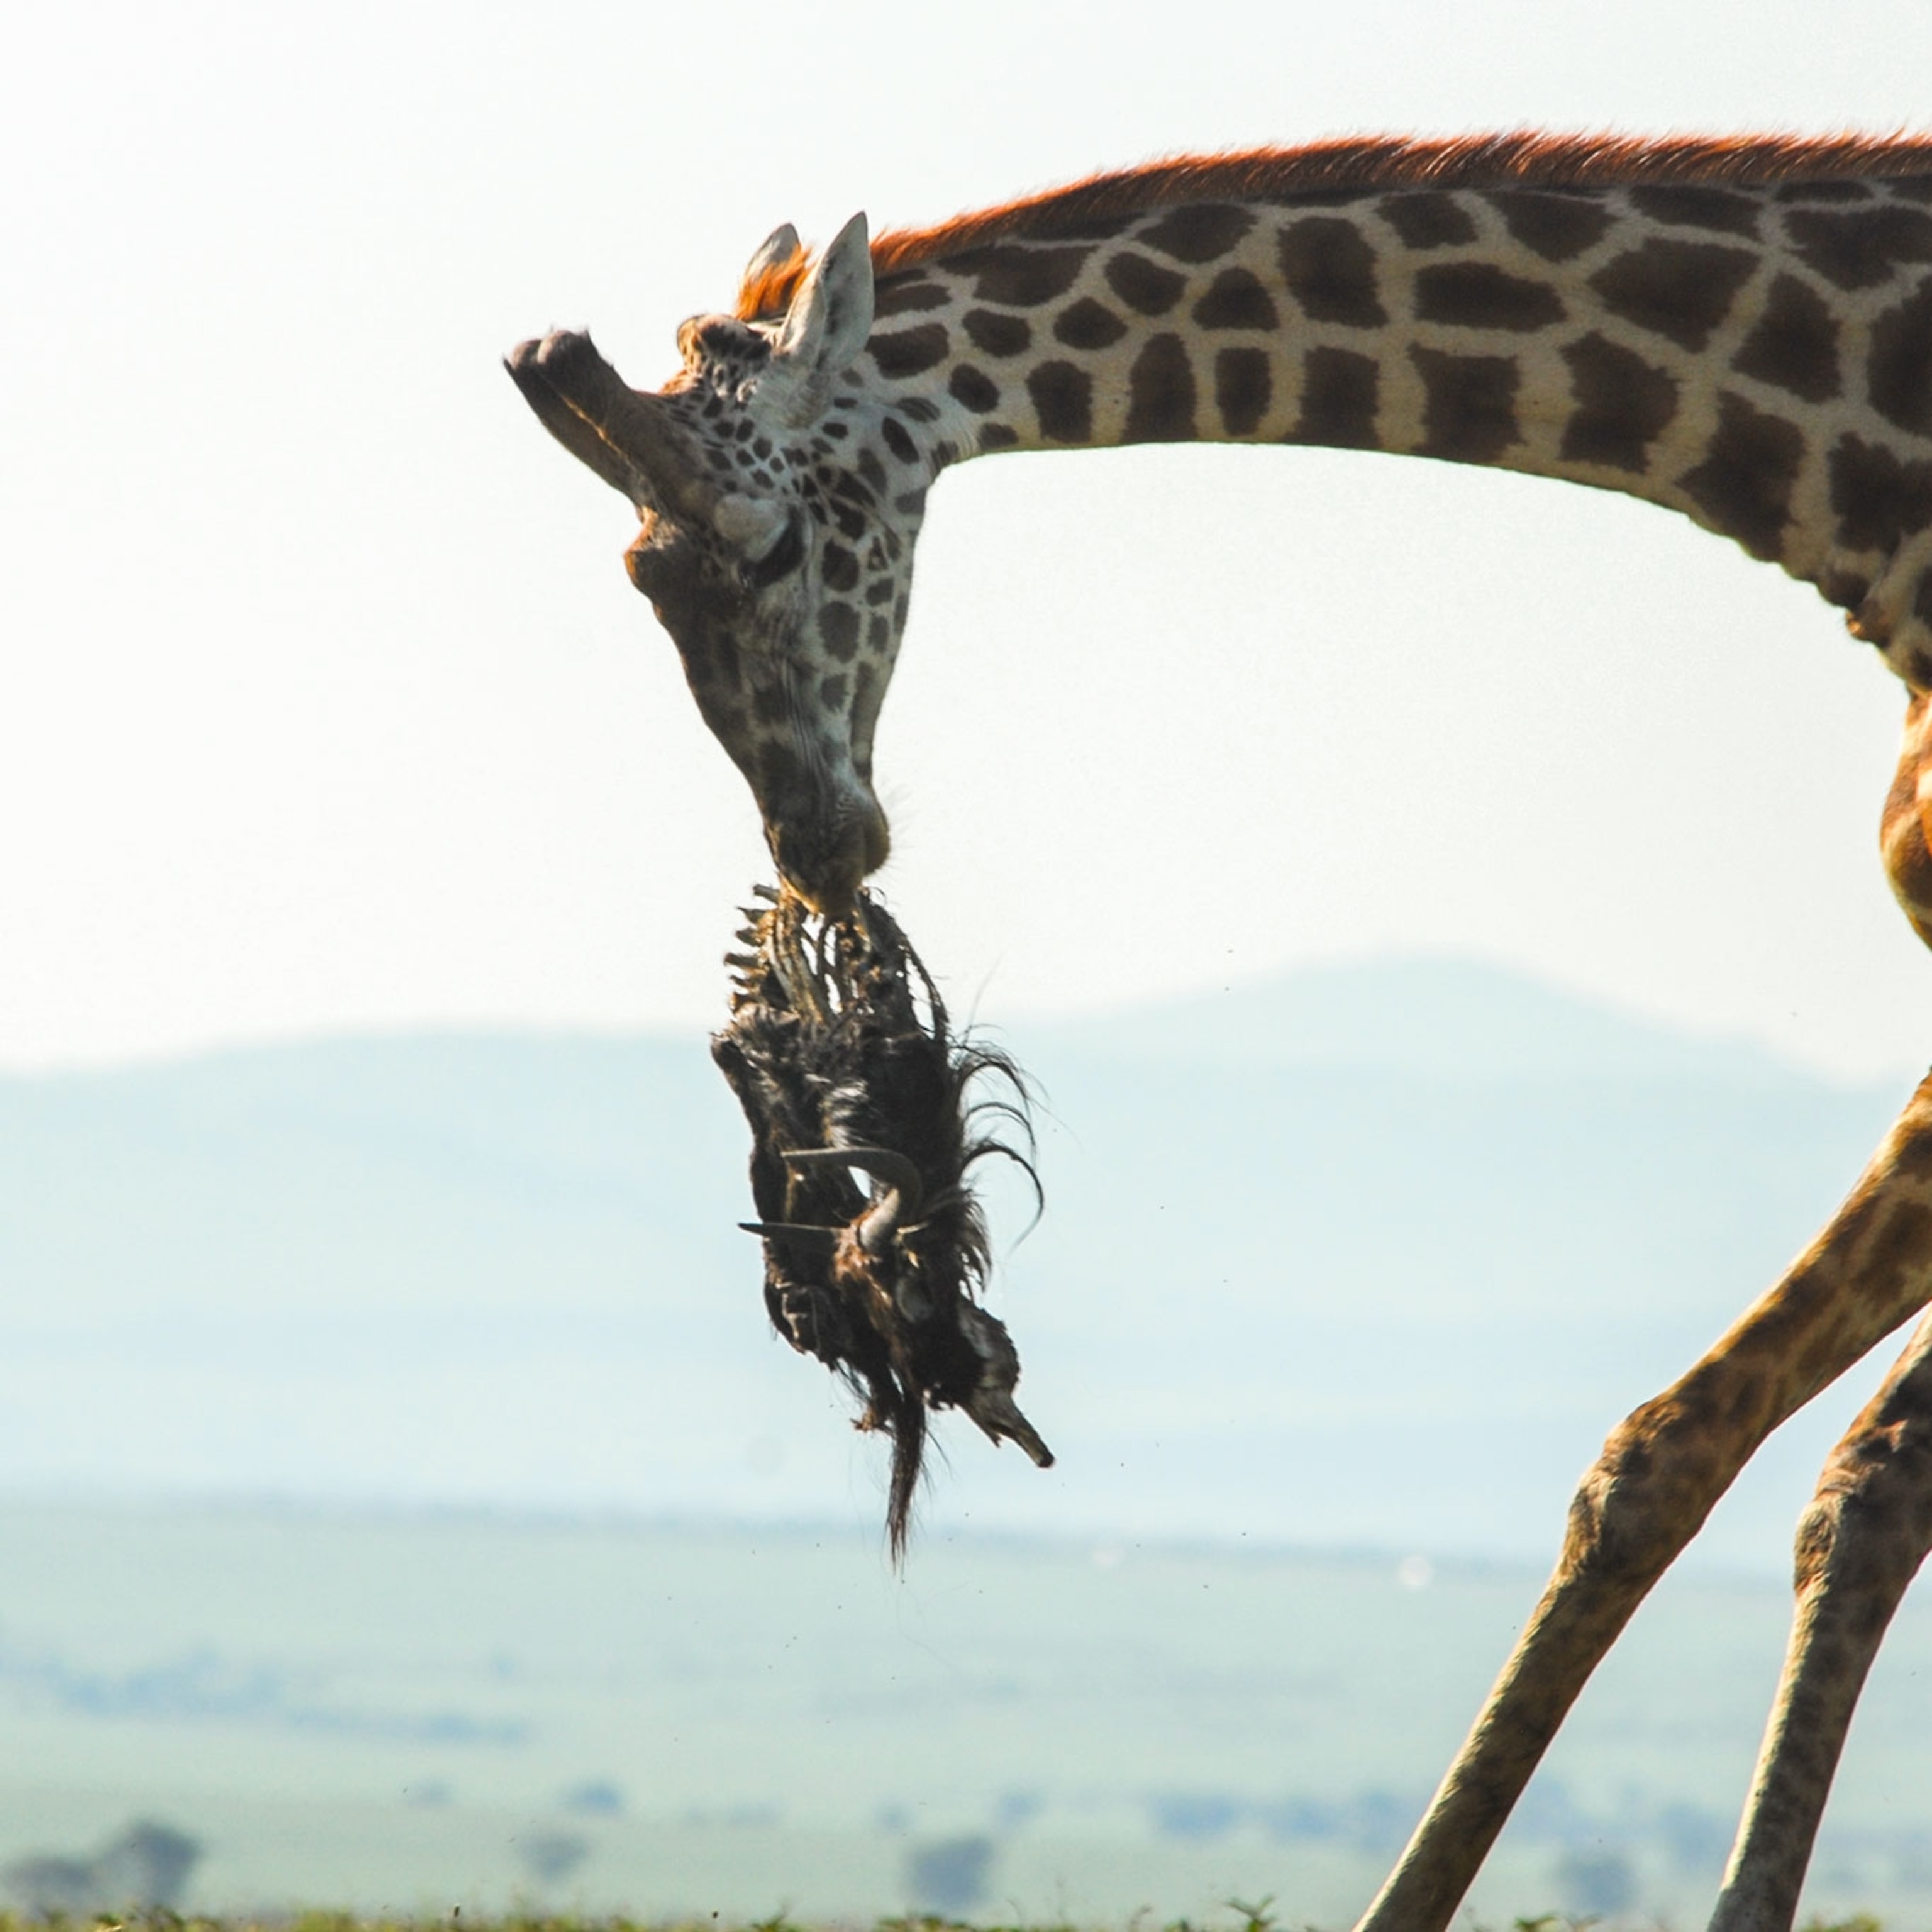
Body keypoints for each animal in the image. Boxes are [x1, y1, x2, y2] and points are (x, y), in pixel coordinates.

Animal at [509, 132, 1932, 1931]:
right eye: (641, 577)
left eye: (766, 548)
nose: (820, 839)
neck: (1864, 456)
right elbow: (1699, 1457)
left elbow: (1818, 1465)